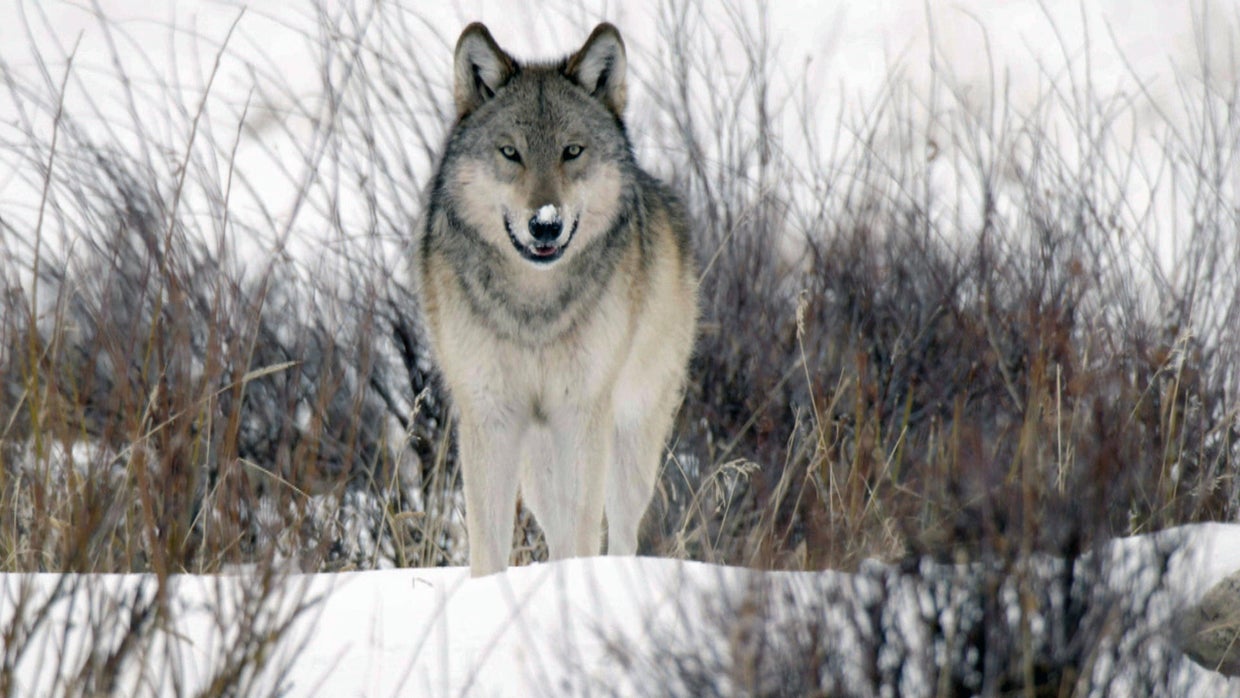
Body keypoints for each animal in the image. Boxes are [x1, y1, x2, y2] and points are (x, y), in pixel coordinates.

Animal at [418, 22, 698, 577]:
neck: (534, 308)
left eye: (572, 151)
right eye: (511, 153)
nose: (544, 223)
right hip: (537, 462)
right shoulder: (489, 415)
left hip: (631, 438)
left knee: (621, 531)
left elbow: (584, 530)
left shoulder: (582, 411)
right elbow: (488, 544)